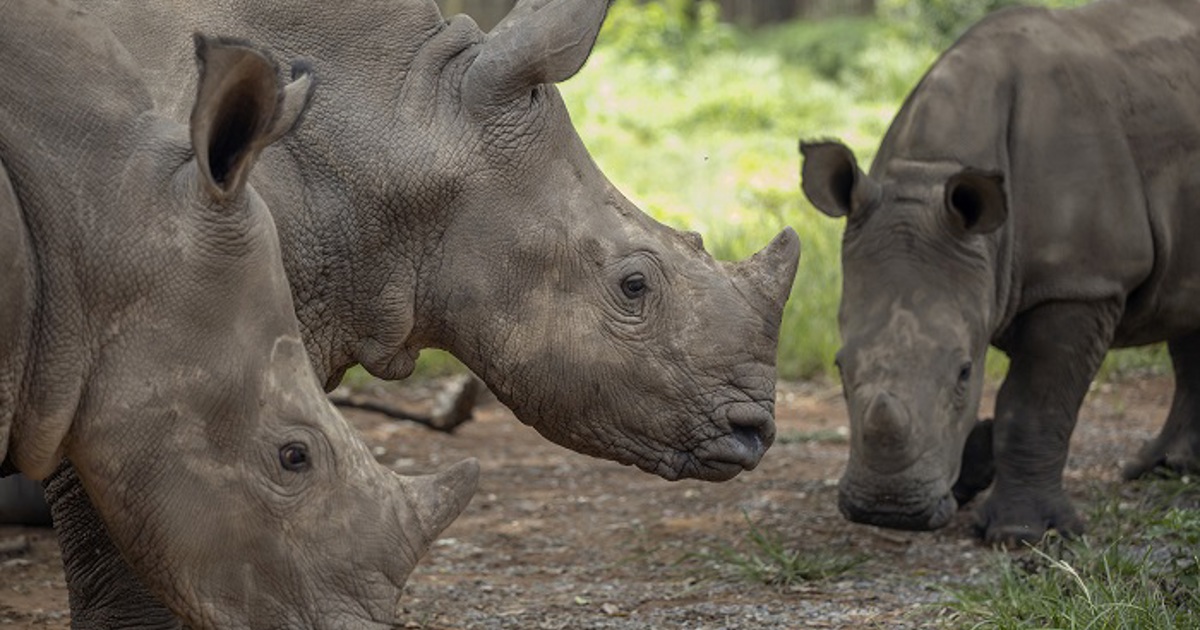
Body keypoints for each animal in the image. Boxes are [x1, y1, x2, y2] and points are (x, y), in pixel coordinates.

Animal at [801, 0, 1200, 543]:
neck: (929, 173)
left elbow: (1033, 402)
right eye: (839, 365)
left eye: (965, 372)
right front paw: (971, 471)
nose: (888, 510)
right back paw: (1163, 469)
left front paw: (1020, 533)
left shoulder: (1081, 282)